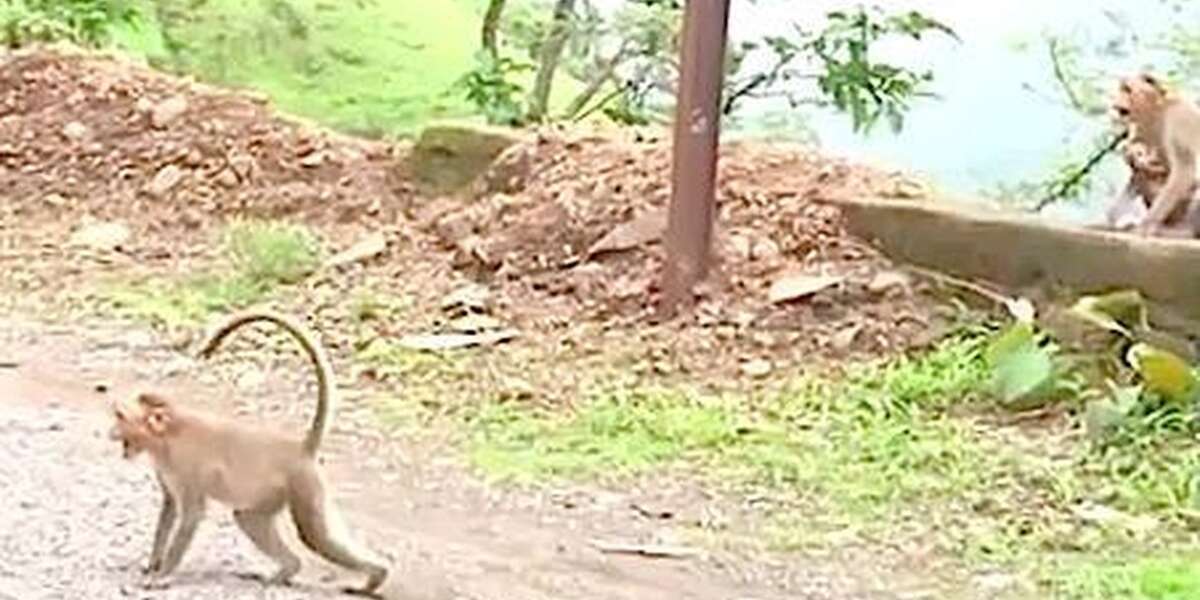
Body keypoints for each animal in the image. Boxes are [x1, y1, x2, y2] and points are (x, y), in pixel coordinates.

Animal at [108, 310, 389, 596]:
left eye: (120, 416)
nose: (110, 432)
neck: (167, 436)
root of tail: (300, 448)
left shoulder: (186, 466)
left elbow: (191, 515)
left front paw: (162, 575)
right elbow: (170, 508)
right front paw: (153, 562)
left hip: (303, 484)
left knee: (313, 535)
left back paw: (375, 576)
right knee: (249, 518)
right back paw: (288, 570)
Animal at [1111, 72, 1200, 237]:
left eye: (1127, 89)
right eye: (1121, 88)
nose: (1114, 101)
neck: (1157, 110)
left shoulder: (1180, 119)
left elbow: (1185, 170)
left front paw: (1146, 224)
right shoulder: (1141, 129)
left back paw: (1184, 230)